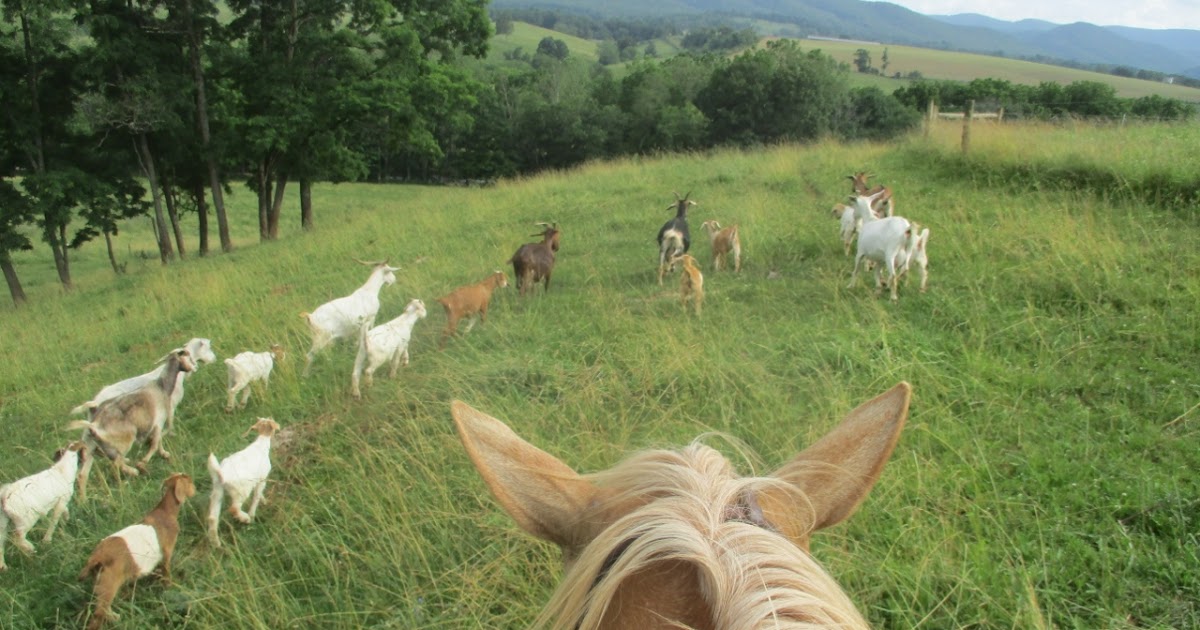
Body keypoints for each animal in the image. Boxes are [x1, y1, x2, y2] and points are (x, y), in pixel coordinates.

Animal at [0, 442, 88, 571]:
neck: (62, 471)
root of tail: (5, 495)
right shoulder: (61, 502)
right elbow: (54, 521)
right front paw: (47, 540)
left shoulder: (62, 501)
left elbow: (65, 511)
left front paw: (66, 520)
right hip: (26, 520)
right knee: (17, 537)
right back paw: (30, 548)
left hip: (3, 521)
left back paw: (4, 567)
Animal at [68, 350, 195, 501]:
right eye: (186, 357)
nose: (192, 368)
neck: (161, 386)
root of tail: (94, 424)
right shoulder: (158, 422)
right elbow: (156, 443)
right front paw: (143, 462)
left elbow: (157, 442)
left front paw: (163, 454)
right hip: (125, 441)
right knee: (115, 464)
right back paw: (131, 474)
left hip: (91, 447)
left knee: (84, 474)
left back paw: (84, 500)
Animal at [79, 473, 195, 630]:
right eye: (189, 481)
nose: (195, 489)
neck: (165, 513)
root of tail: (97, 557)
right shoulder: (167, 552)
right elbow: (166, 572)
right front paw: (169, 587)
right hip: (109, 583)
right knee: (98, 614)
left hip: (99, 581)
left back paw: (116, 617)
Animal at [206, 418, 280, 548]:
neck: (260, 445)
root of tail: (223, 474)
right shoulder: (262, 479)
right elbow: (257, 496)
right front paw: (253, 513)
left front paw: (264, 501)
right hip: (241, 491)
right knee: (234, 509)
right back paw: (245, 518)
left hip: (217, 492)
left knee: (212, 518)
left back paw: (216, 543)